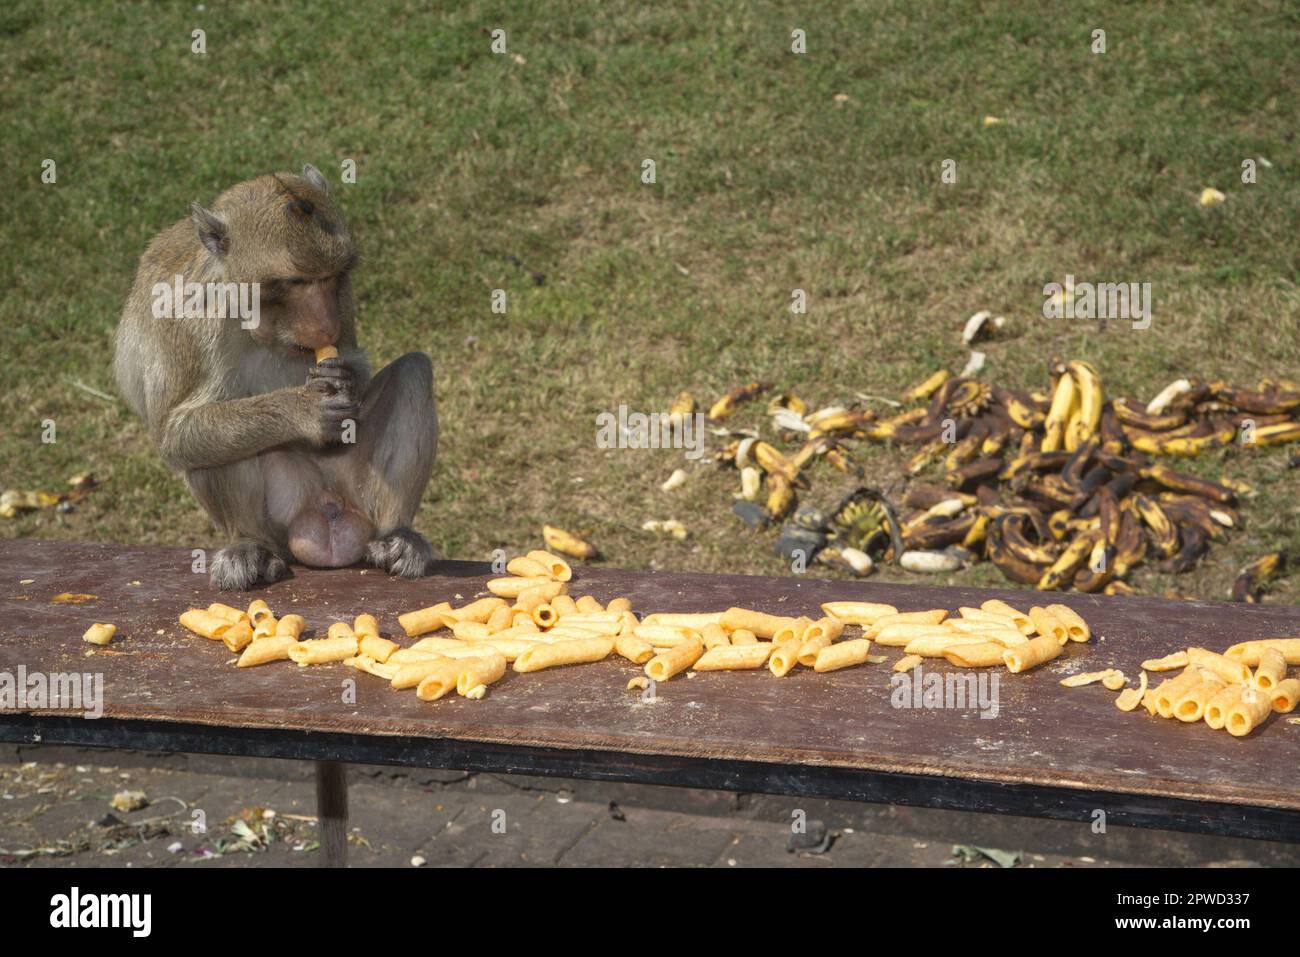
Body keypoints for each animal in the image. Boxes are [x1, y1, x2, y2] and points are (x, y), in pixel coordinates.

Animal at [113, 165, 438, 591]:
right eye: (295, 282)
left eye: (332, 276)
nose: (326, 324)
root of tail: (326, 509)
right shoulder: (183, 315)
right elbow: (176, 432)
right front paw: (306, 410)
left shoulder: (344, 297)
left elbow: (355, 358)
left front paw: (347, 378)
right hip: (285, 509)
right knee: (213, 442)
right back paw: (250, 546)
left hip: (355, 485)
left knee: (414, 371)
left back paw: (396, 539)